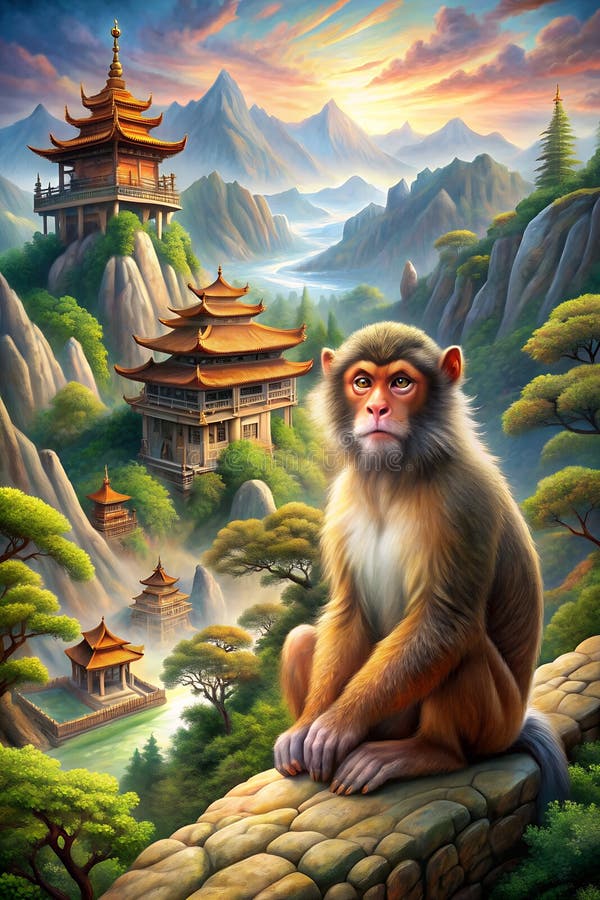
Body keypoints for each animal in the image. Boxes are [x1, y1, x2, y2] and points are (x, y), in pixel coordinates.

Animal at [274, 321, 569, 805]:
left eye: (400, 382)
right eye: (362, 382)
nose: (376, 407)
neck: (394, 478)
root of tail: (514, 727)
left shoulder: (464, 498)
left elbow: (444, 619)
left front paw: (336, 725)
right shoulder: (344, 498)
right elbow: (348, 610)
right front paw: (308, 725)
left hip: (493, 726)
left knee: (464, 646)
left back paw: (429, 752)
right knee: (300, 638)